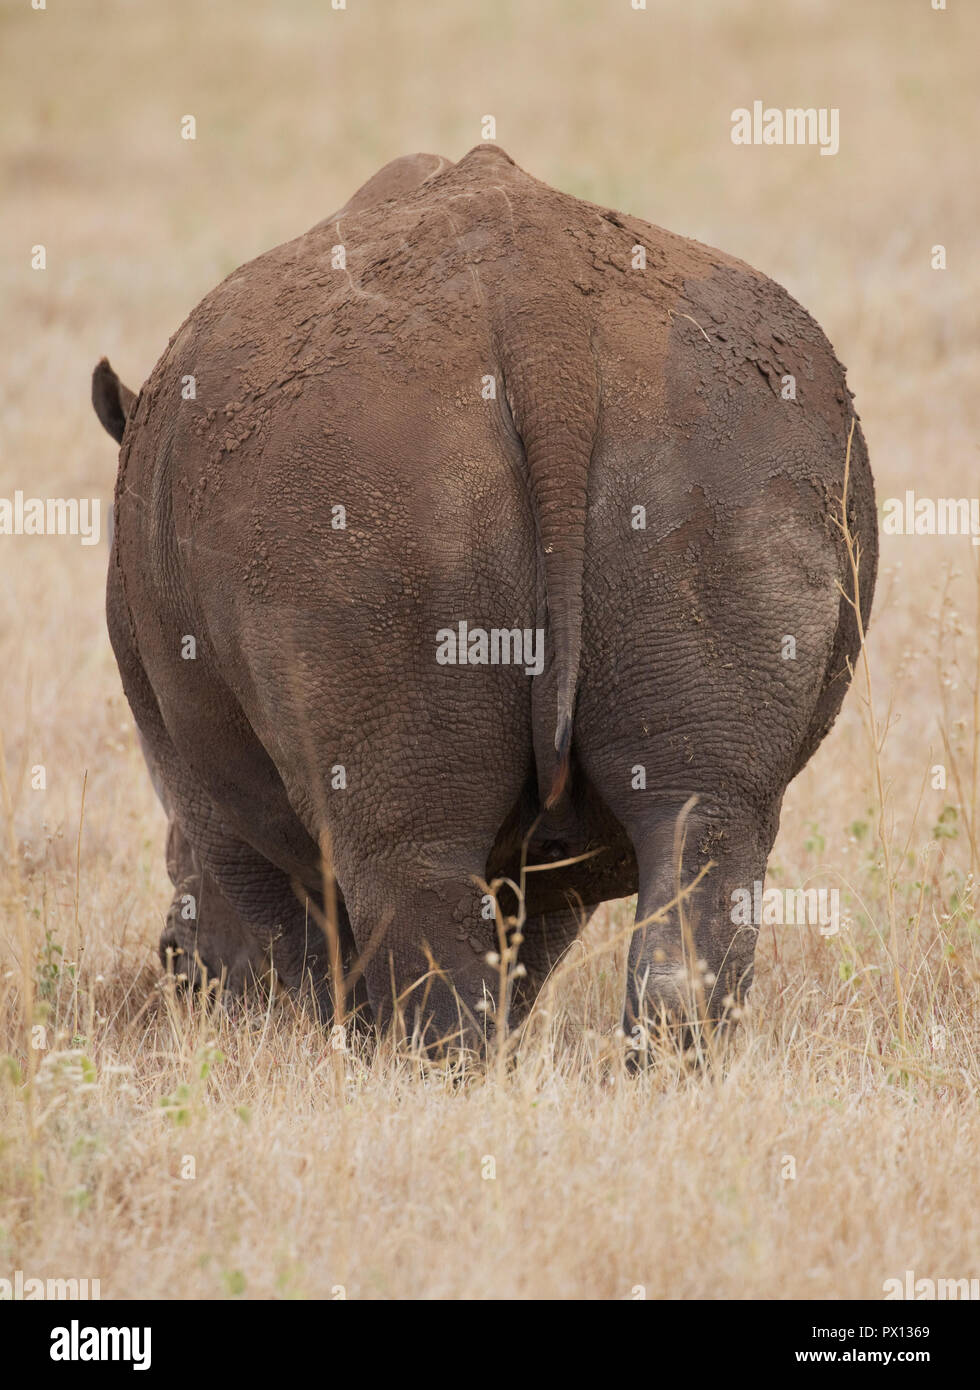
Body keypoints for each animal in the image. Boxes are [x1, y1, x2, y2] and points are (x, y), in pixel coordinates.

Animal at [93, 144, 876, 1051]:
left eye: (182, 953)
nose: (179, 966)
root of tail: (544, 313)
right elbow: (529, 944)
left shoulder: (200, 781)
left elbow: (294, 933)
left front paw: (326, 1043)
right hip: (729, 446)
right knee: (707, 822)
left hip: (364, 479)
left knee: (407, 859)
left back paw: (429, 1069)